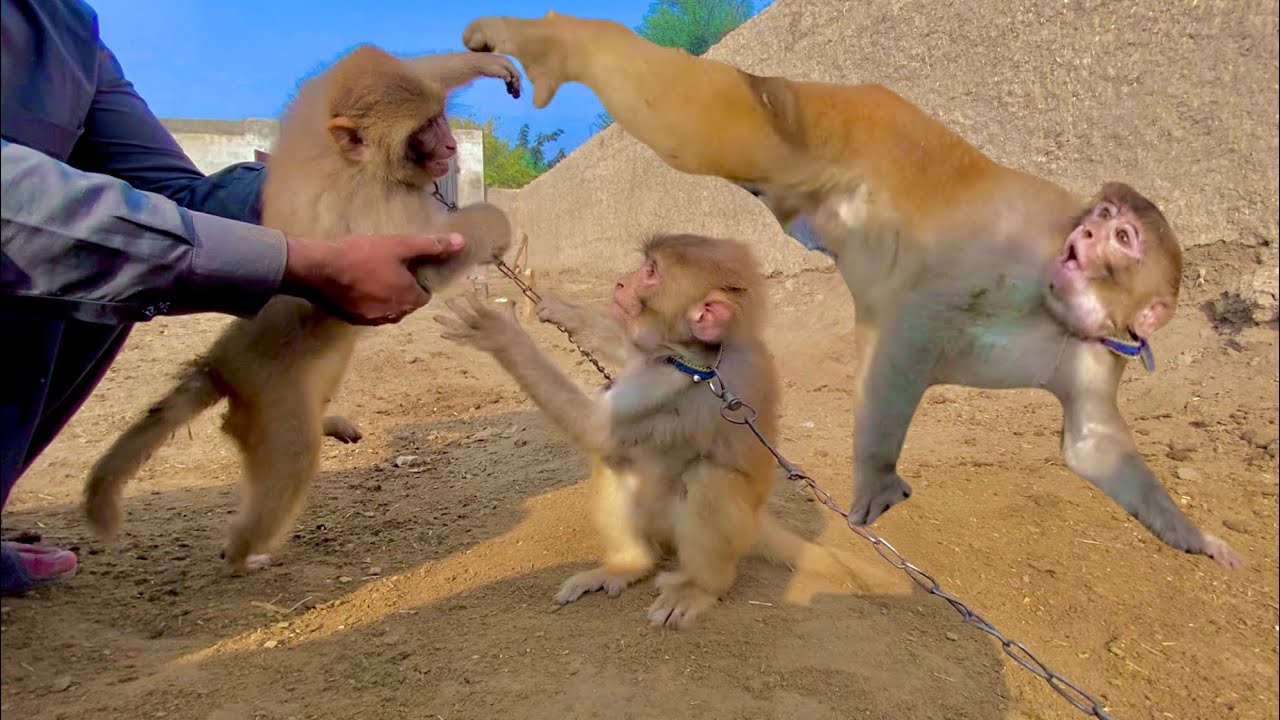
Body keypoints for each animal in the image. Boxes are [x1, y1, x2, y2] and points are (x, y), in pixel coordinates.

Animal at [436, 234, 895, 629]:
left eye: (651, 271)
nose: (622, 281)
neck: (697, 352)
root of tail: (758, 522)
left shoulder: (679, 379)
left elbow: (596, 427)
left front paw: (498, 334)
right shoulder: (659, 358)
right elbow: (625, 357)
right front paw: (558, 307)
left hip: (719, 529)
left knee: (708, 478)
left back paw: (700, 587)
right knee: (618, 464)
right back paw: (629, 563)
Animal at [458, 13, 1243, 570]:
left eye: (1123, 236)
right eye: (1104, 221)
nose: (1094, 231)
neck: (1063, 308)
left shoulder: (1100, 353)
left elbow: (1090, 447)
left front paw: (1193, 539)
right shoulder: (1016, 251)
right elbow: (908, 334)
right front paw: (876, 479)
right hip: (850, 120)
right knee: (707, 116)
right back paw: (554, 40)